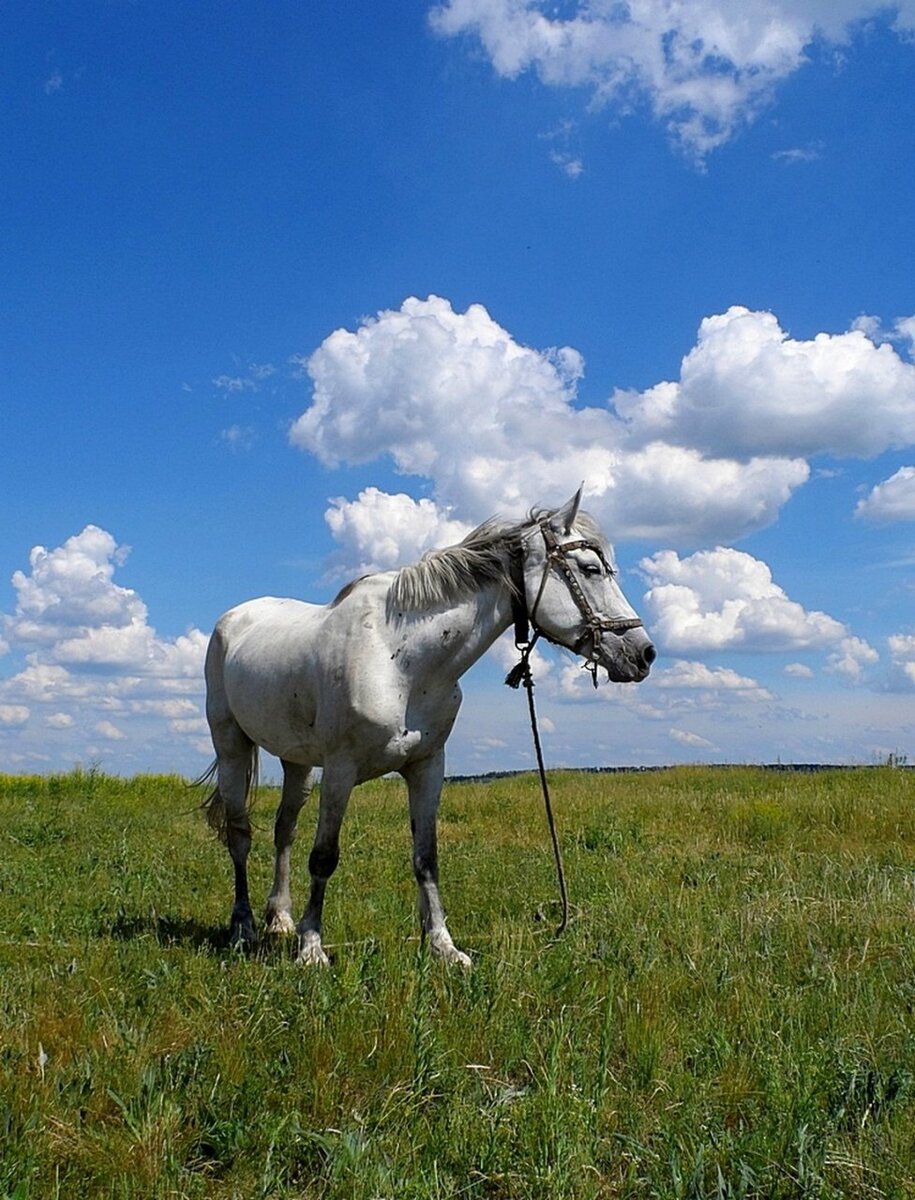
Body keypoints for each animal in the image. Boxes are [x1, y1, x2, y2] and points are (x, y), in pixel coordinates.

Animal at [202, 487, 653, 964]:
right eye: (589, 570)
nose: (644, 653)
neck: (398, 658)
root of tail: (232, 620)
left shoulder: (427, 768)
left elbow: (426, 857)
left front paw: (442, 946)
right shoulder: (340, 770)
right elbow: (324, 856)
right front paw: (312, 949)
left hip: (298, 764)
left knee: (283, 831)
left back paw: (280, 919)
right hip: (232, 747)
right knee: (240, 836)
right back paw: (244, 928)